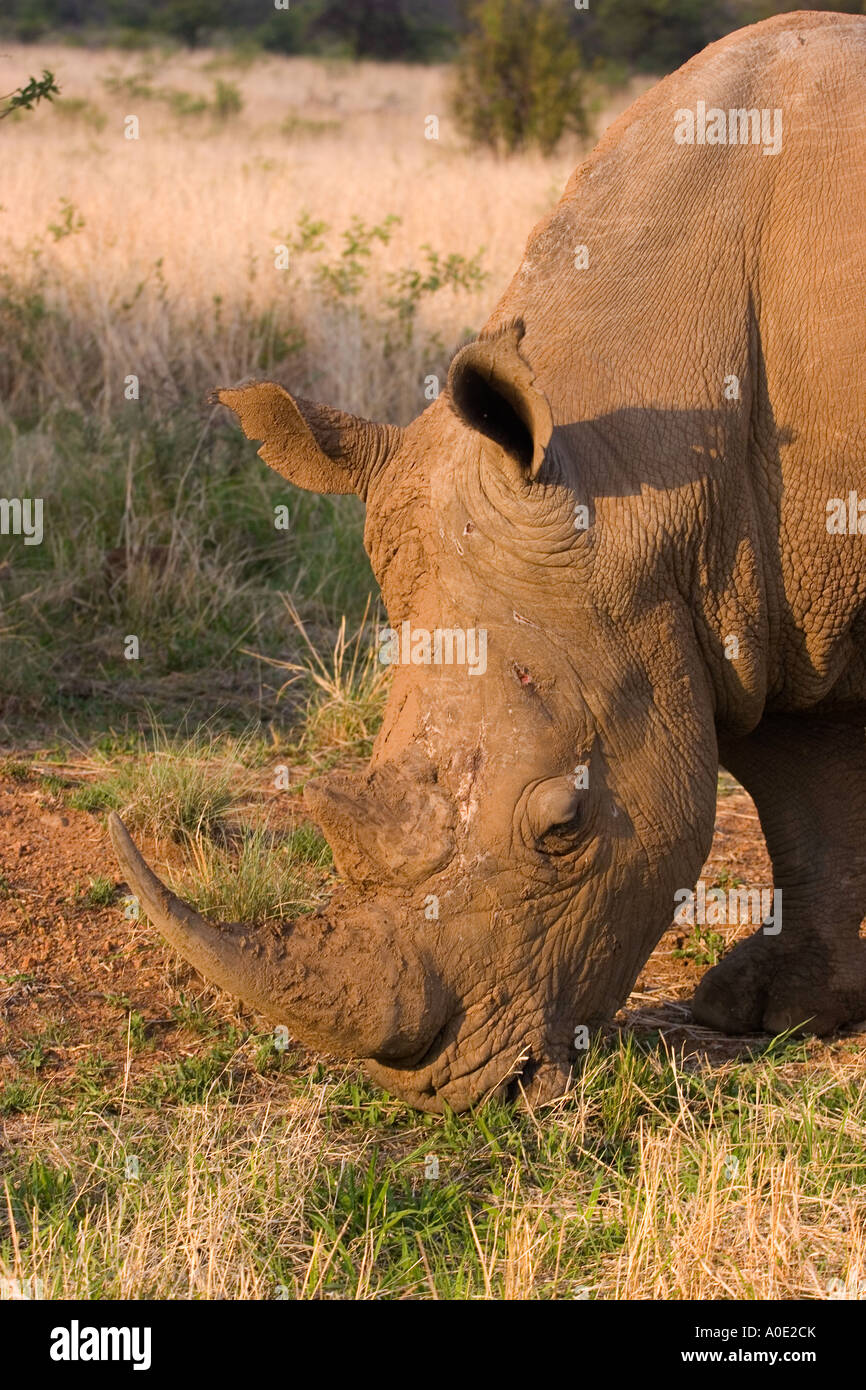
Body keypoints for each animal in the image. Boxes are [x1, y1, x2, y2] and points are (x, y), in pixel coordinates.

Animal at [110, 11, 866, 1112]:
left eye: (564, 827)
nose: (440, 1087)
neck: (641, 472)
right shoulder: (756, 597)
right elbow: (800, 789)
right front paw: (781, 1012)